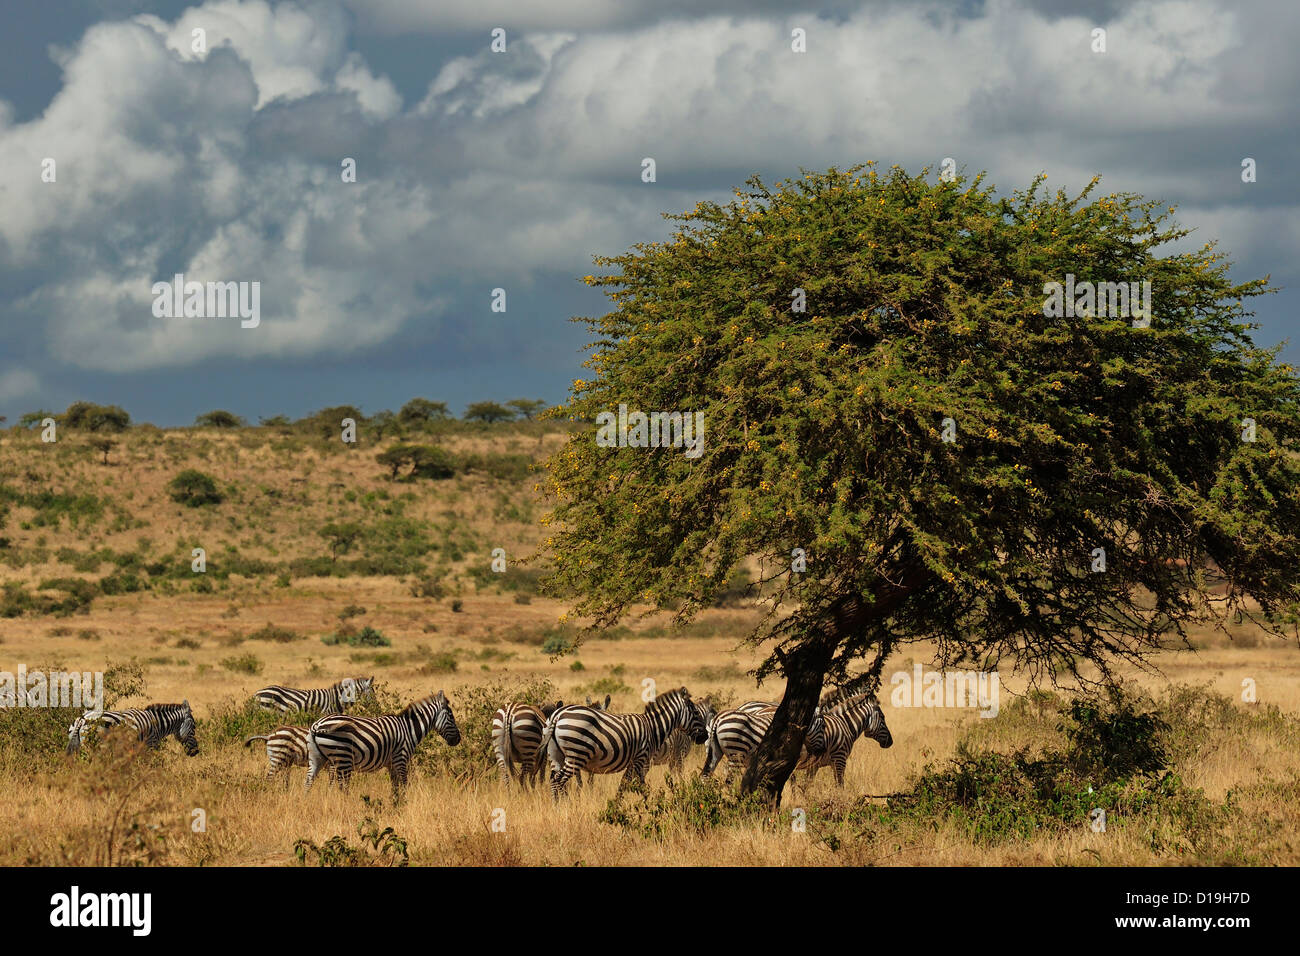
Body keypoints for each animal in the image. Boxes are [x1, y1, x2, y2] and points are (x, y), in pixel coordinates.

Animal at [66, 702, 199, 756]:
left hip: (77, 743)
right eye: (194, 727)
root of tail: (83, 718)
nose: (196, 752)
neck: (158, 723)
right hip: (97, 746)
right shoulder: (150, 744)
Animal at [305, 690, 461, 800]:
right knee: (343, 786)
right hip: (343, 758)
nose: (458, 740)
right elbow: (404, 783)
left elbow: (395, 786)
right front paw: (404, 803)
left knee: (308, 782)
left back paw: (306, 804)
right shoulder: (401, 758)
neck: (408, 728)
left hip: (317, 758)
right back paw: (346, 805)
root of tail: (317, 725)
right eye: (451, 716)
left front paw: (396, 803)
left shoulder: (391, 763)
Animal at [540, 687, 707, 799]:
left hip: (556, 755)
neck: (652, 727)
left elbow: (631, 785)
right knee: (559, 780)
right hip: (577, 754)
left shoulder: (636, 762)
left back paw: (558, 805)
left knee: (553, 779)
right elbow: (631, 785)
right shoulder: (640, 759)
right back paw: (562, 808)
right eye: (696, 712)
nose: (705, 737)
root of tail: (557, 714)